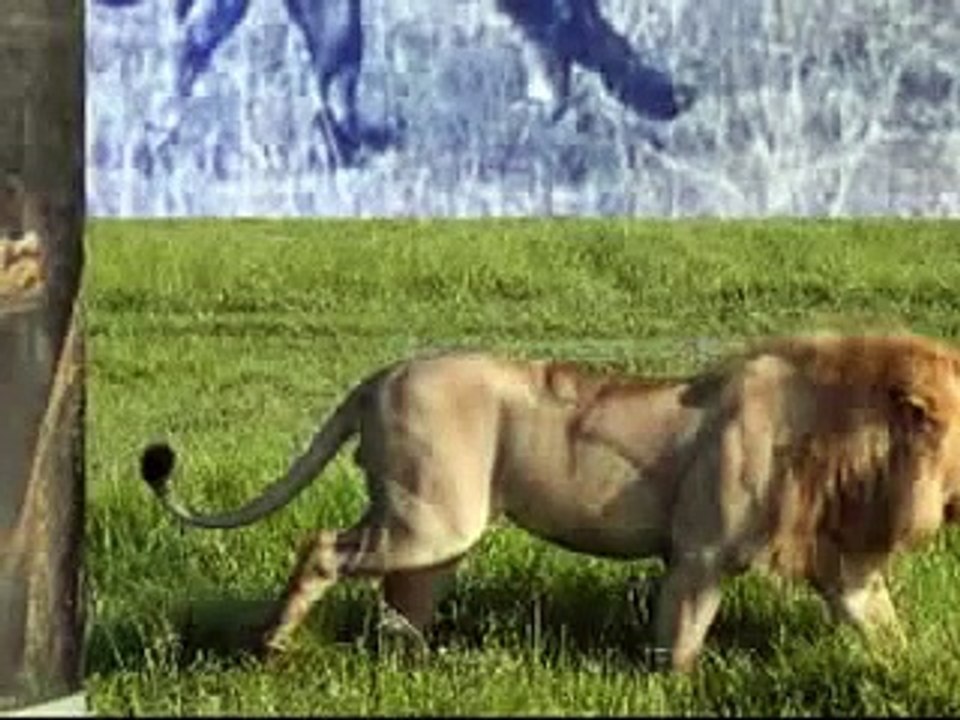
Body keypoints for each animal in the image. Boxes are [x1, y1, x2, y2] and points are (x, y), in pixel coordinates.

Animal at [140, 333, 960, 672]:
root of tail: (380, 376)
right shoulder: (697, 554)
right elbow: (680, 645)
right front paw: (671, 688)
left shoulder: (844, 568)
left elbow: (886, 628)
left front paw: (919, 671)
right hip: (431, 518)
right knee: (323, 549)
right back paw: (272, 644)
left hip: (435, 526)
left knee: (401, 601)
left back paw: (424, 662)